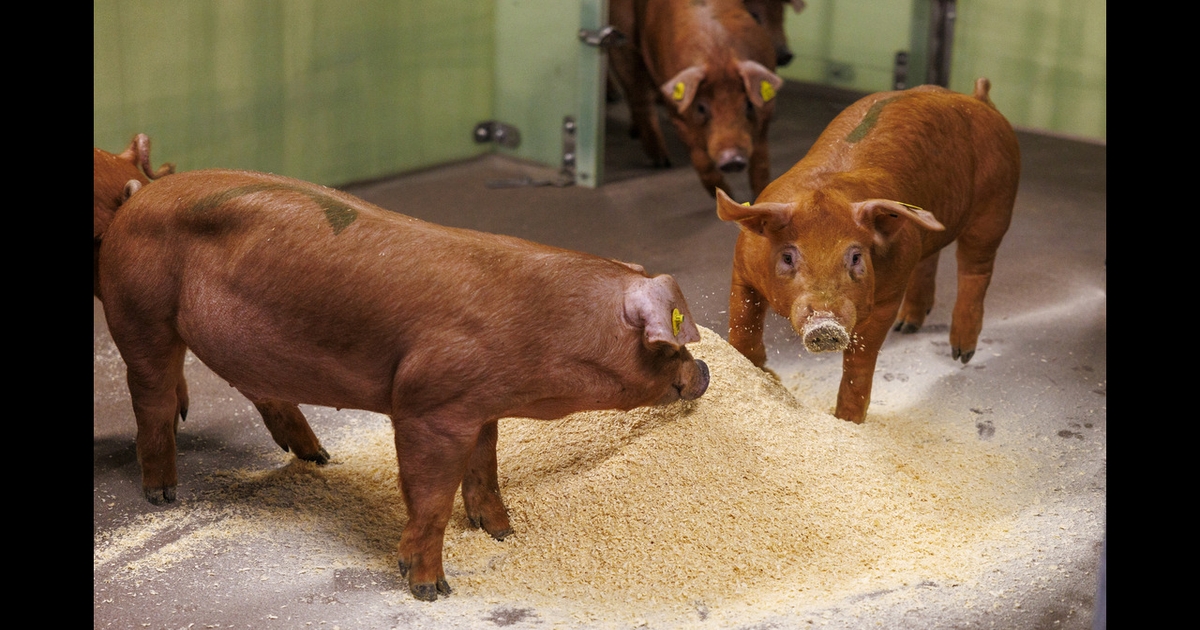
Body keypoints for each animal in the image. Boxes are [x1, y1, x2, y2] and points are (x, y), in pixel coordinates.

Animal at [98, 169, 710, 600]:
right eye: (672, 345)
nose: (703, 373)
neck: (545, 334)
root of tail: (139, 195)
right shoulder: (429, 408)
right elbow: (431, 496)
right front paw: (430, 590)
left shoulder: (480, 407)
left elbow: (485, 468)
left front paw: (503, 533)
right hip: (140, 310)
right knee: (151, 396)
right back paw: (163, 493)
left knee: (252, 387)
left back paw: (318, 457)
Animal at [609, 0, 784, 197]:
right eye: (701, 107)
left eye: (748, 104)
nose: (732, 159)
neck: (718, 57)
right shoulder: (678, 115)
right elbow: (702, 163)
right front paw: (728, 196)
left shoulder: (766, 113)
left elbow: (760, 164)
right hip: (623, 42)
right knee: (639, 98)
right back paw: (662, 161)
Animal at [717, 79, 1020, 423]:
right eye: (788, 256)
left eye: (855, 256)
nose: (825, 323)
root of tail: (978, 99)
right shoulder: (742, 268)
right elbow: (742, 327)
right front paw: (760, 372)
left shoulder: (889, 294)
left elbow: (859, 361)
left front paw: (846, 422)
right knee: (930, 259)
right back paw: (908, 326)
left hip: (996, 205)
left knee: (976, 269)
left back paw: (961, 353)